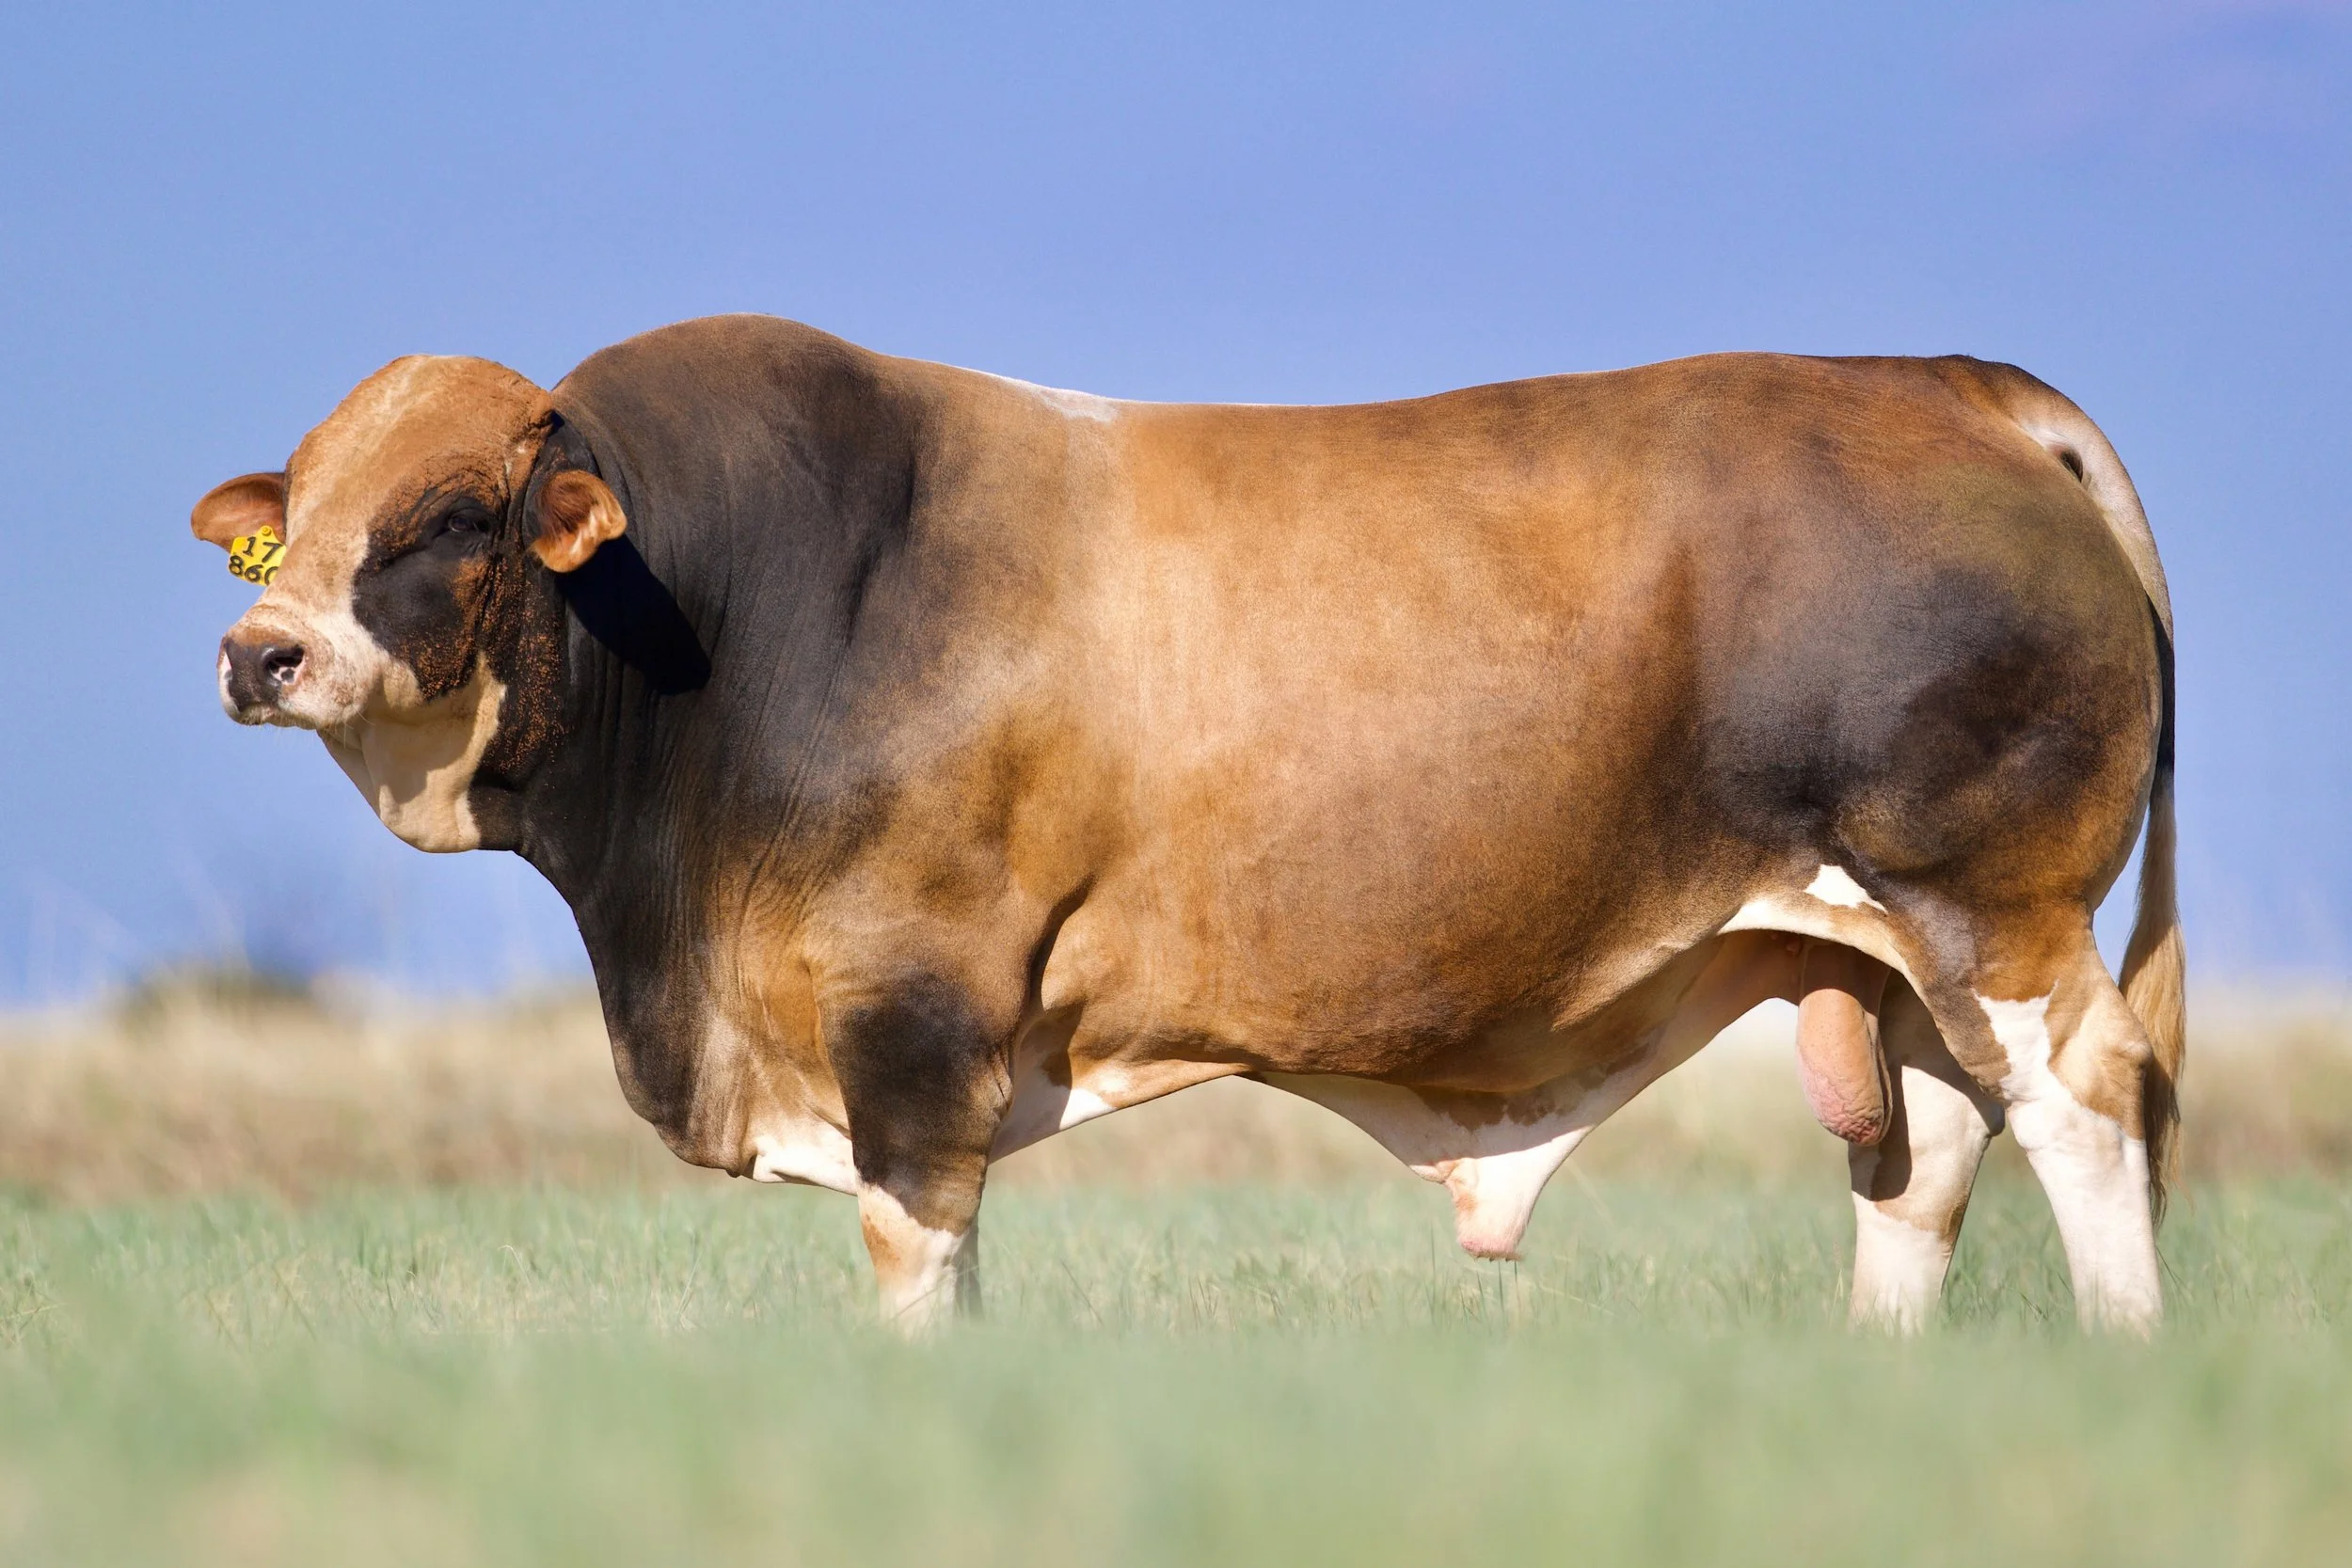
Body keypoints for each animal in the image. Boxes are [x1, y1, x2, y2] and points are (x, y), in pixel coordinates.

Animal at [192, 316, 2182, 1333]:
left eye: (452, 512)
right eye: (297, 511)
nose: (257, 651)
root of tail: (1940, 379)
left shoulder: (911, 1023)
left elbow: (920, 1261)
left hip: (1989, 912)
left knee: (2085, 1116)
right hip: (1889, 958)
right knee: (1924, 1165)